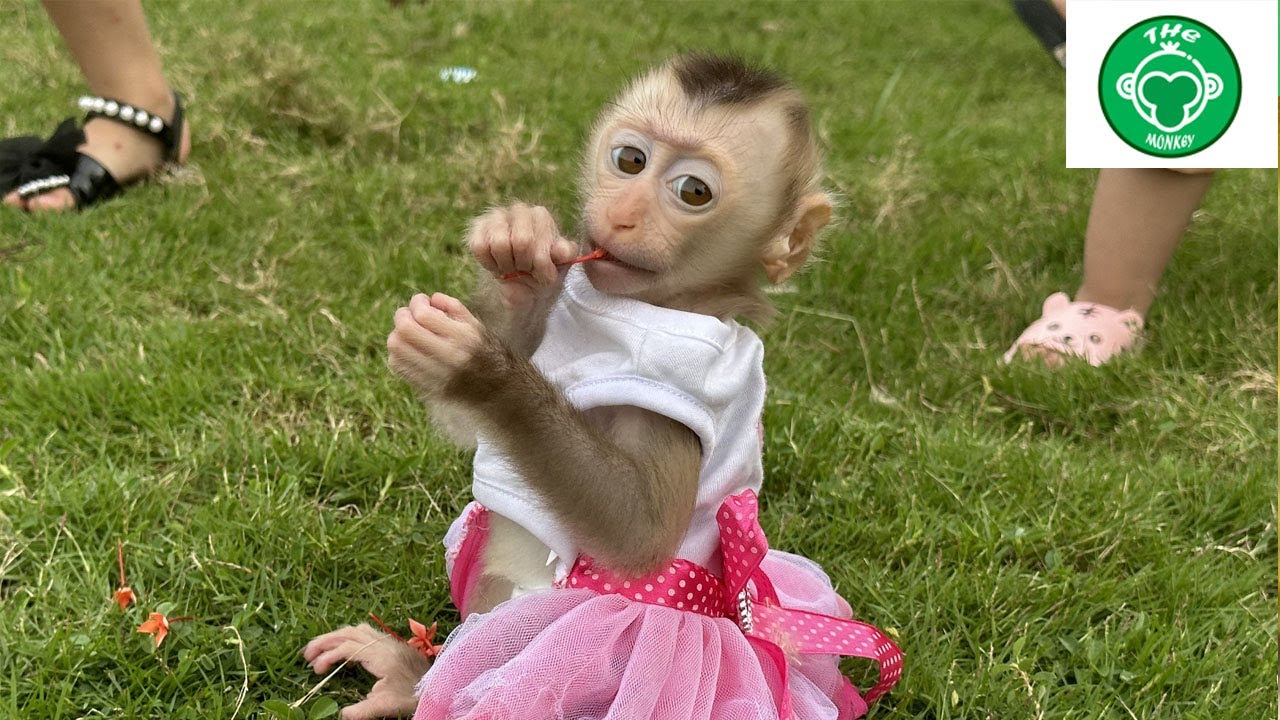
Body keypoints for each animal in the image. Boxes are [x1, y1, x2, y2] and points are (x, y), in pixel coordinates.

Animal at [303, 54, 901, 720]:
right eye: (630, 160)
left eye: (693, 192)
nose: (620, 216)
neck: (665, 303)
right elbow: (469, 419)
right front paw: (518, 248)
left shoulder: (684, 378)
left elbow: (638, 531)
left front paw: (475, 366)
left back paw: (414, 681)